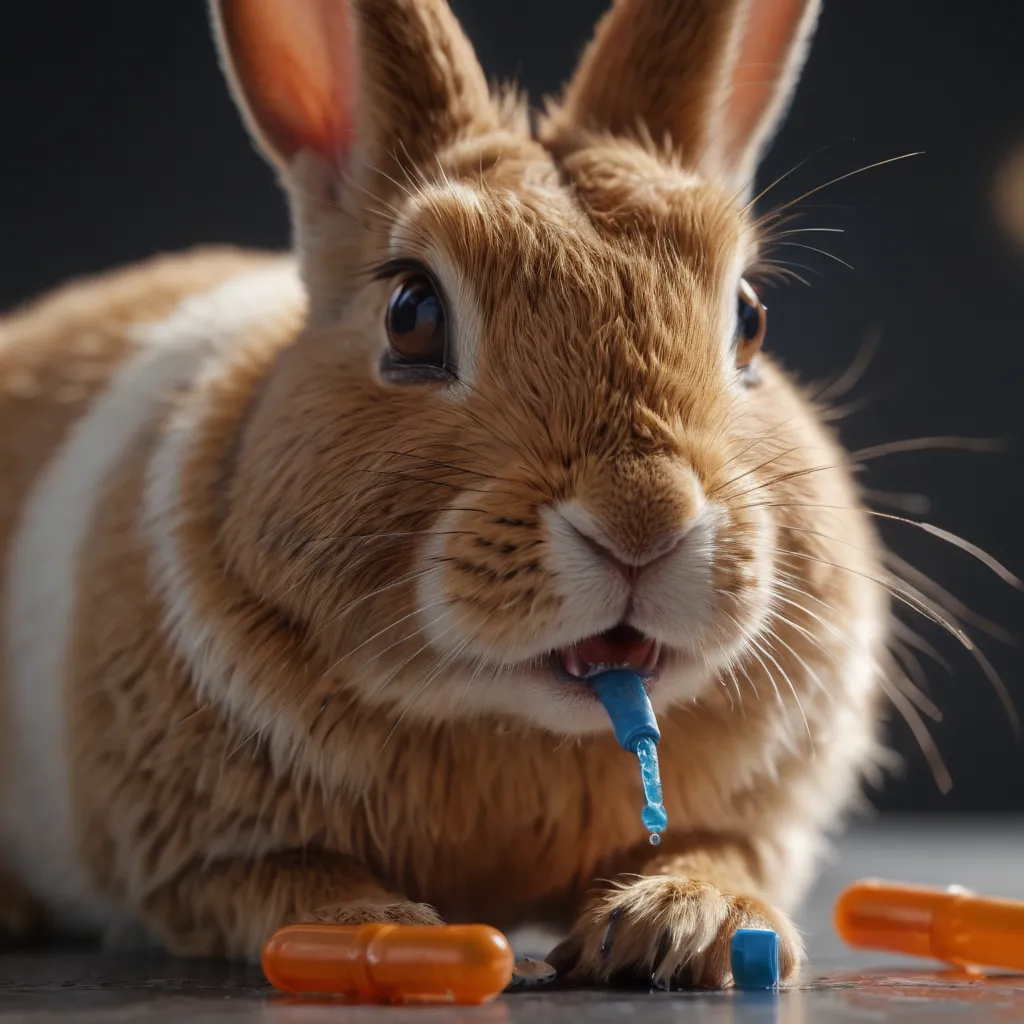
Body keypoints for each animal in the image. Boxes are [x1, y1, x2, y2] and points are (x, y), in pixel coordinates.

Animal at [0, 0, 889, 989]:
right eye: (412, 315)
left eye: (749, 319)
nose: (644, 518)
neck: (515, 719)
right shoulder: (209, 858)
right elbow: (295, 882)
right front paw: (390, 936)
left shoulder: (751, 825)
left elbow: (722, 853)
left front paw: (685, 922)